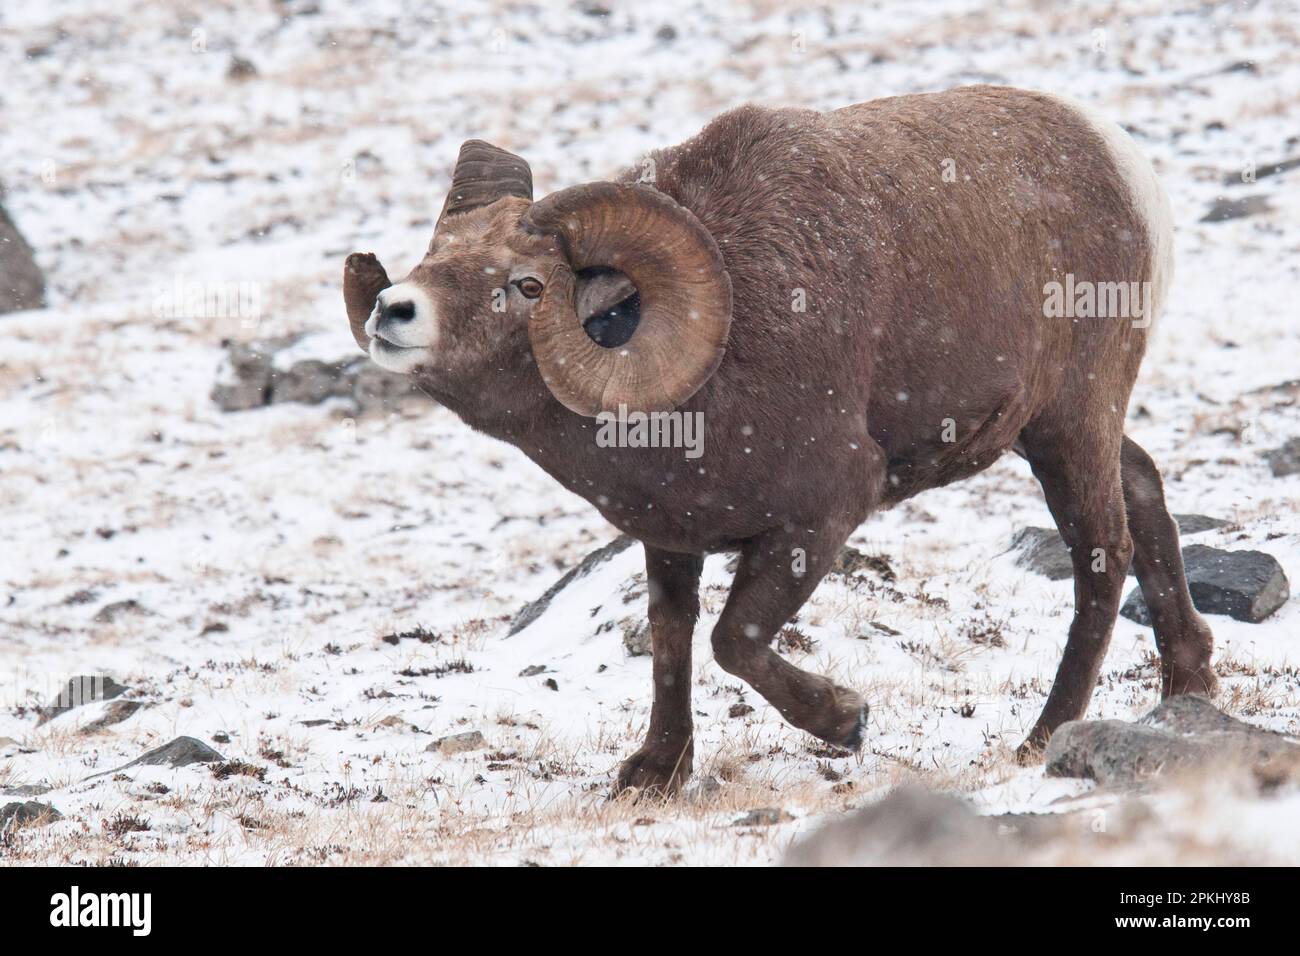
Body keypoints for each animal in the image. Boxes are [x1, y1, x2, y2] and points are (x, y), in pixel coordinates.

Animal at [343, 85, 1216, 797]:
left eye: (525, 285)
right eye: (433, 254)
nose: (393, 311)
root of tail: (1125, 166)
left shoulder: (821, 516)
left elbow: (734, 640)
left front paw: (847, 721)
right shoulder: (671, 538)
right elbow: (673, 641)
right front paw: (654, 775)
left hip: (1069, 424)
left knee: (1103, 551)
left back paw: (1041, 739)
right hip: (1060, 431)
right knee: (1144, 488)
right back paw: (1189, 685)